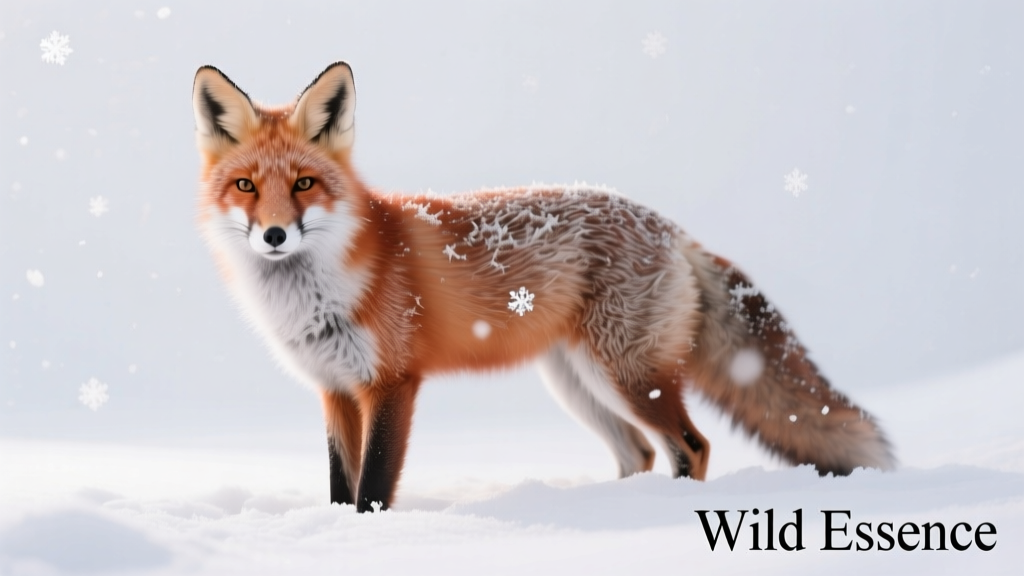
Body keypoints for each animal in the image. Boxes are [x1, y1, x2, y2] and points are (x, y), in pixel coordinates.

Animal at [191, 62, 894, 513]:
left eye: (305, 183)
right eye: (246, 186)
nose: (275, 235)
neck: (319, 293)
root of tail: (668, 226)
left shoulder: (392, 382)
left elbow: (373, 490)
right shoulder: (335, 389)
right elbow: (342, 487)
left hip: (628, 374)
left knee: (691, 446)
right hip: (578, 383)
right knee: (640, 451)